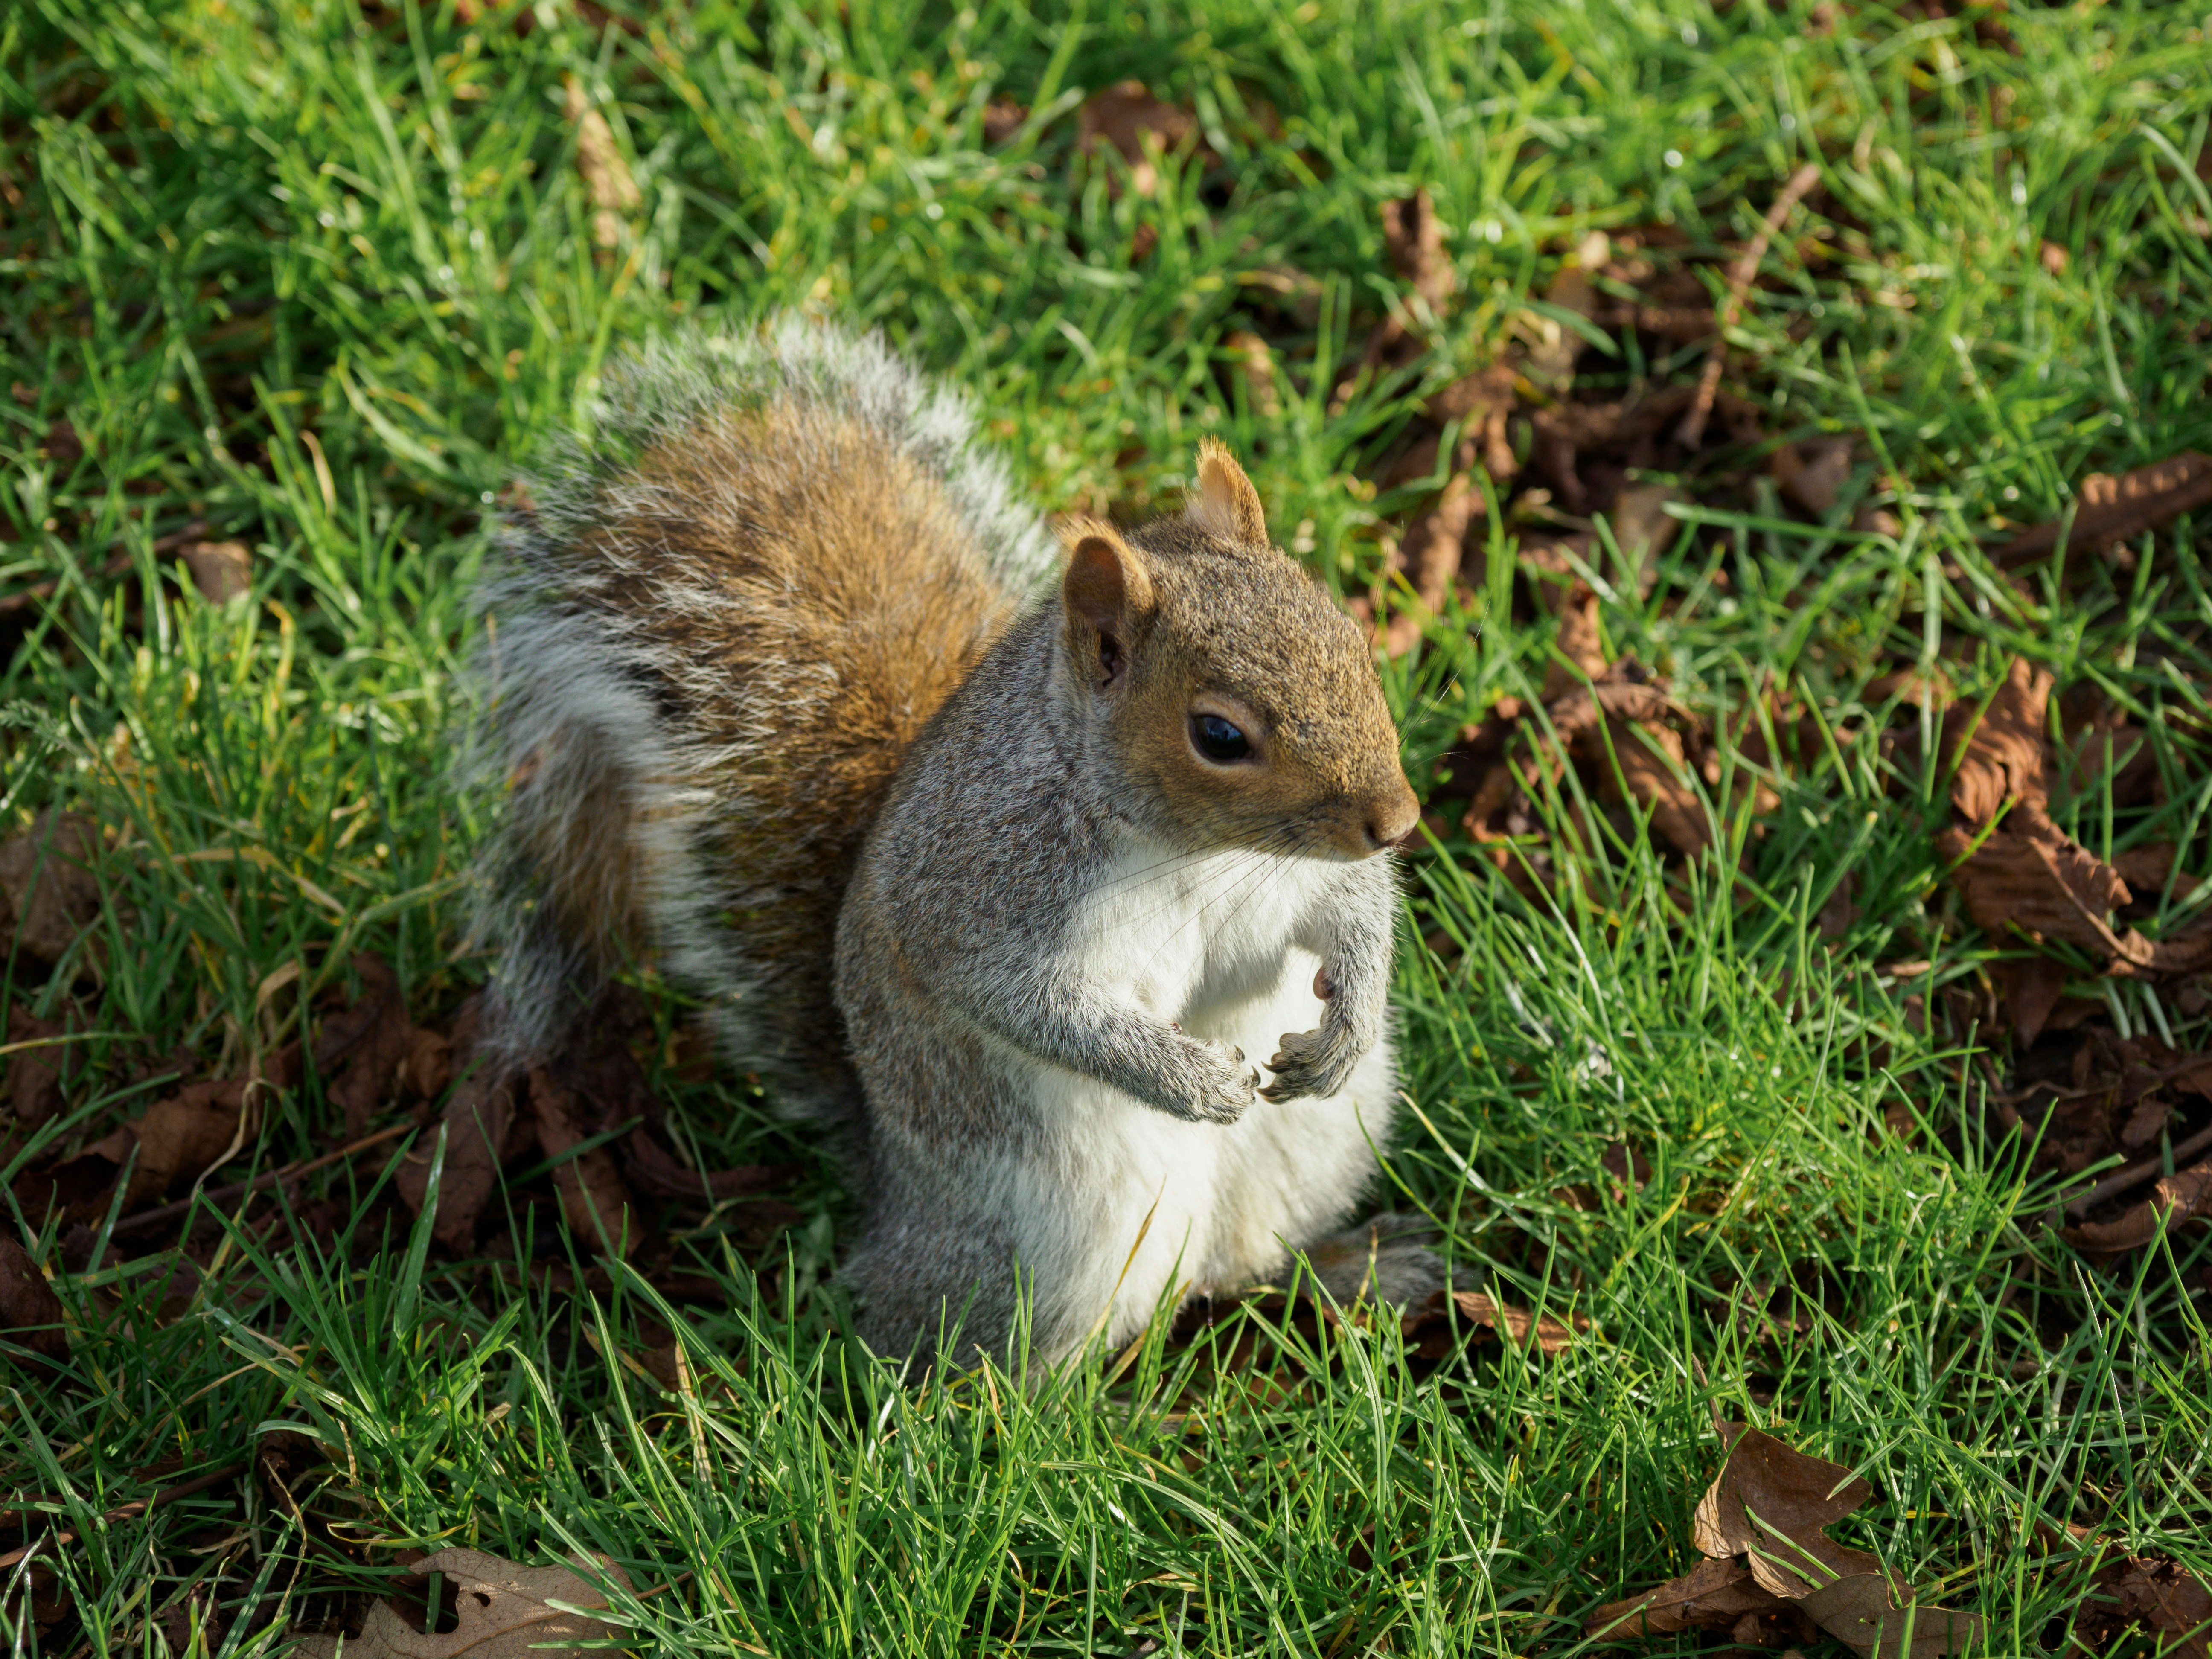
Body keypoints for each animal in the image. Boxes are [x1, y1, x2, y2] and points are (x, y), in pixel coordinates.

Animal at [468, 318, 1437, 1367]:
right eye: (1218, 736)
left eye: (1351, 638)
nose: (1397, 819)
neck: (1200, 850)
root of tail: (890, 1206)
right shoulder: (975, 891)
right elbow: (1028, 1004)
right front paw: (1186, 1078)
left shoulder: (1307, 876)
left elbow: (1355, 911)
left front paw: (1348, 1022)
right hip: (1048, 1242)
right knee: (971, 1341)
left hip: (1314, 1150)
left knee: (1241, 1269)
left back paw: (1354, 1269)